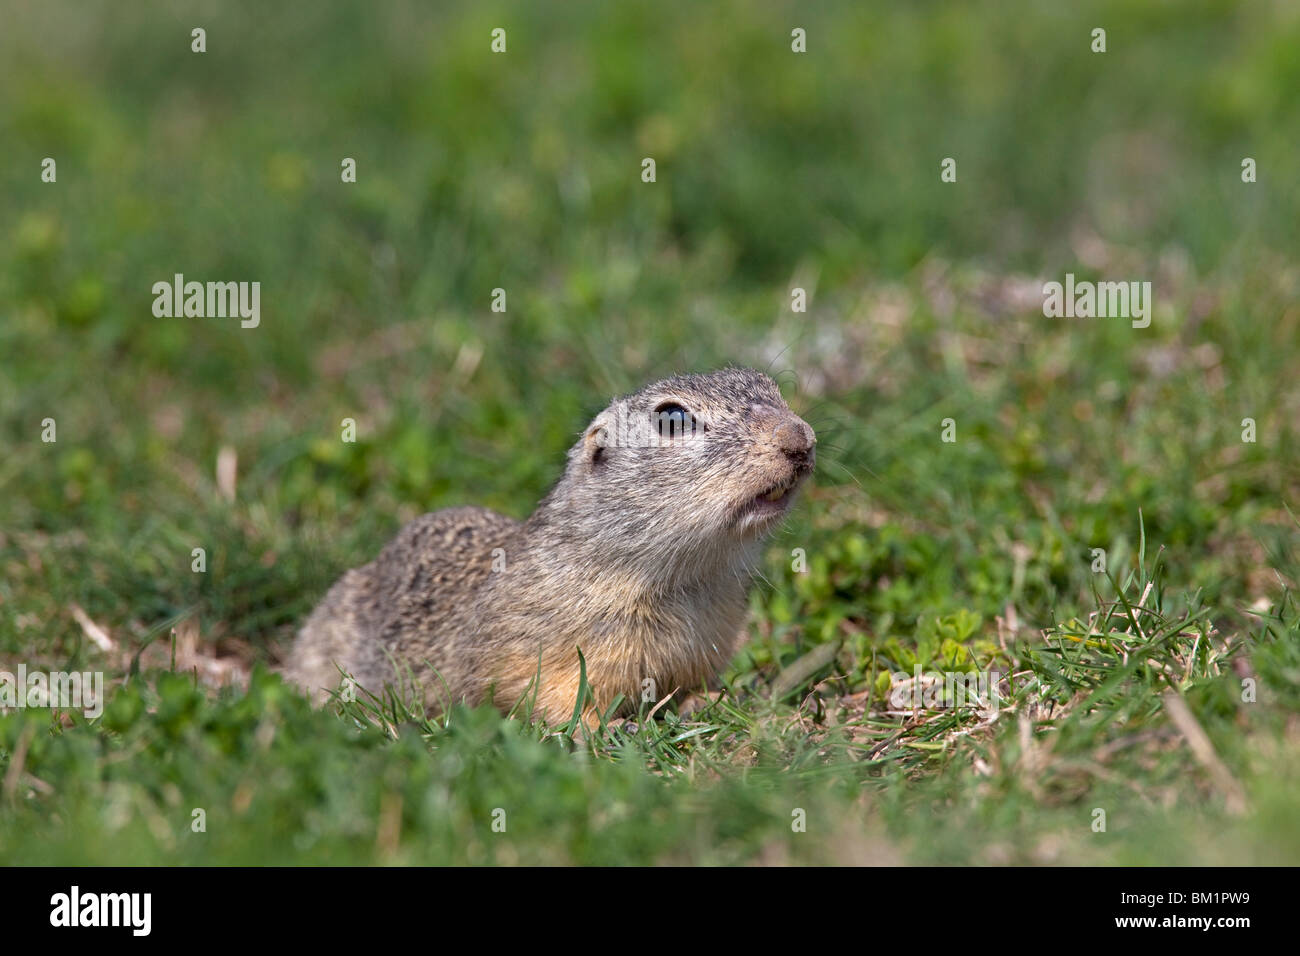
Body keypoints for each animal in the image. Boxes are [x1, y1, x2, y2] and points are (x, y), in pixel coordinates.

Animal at [284, 367, 816, 723]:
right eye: (672, 418)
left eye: (770, 385)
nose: (801, 438)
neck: (685, 575)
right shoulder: (537, 650)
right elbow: (542, 694)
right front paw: (601, 730)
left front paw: (714, 700)